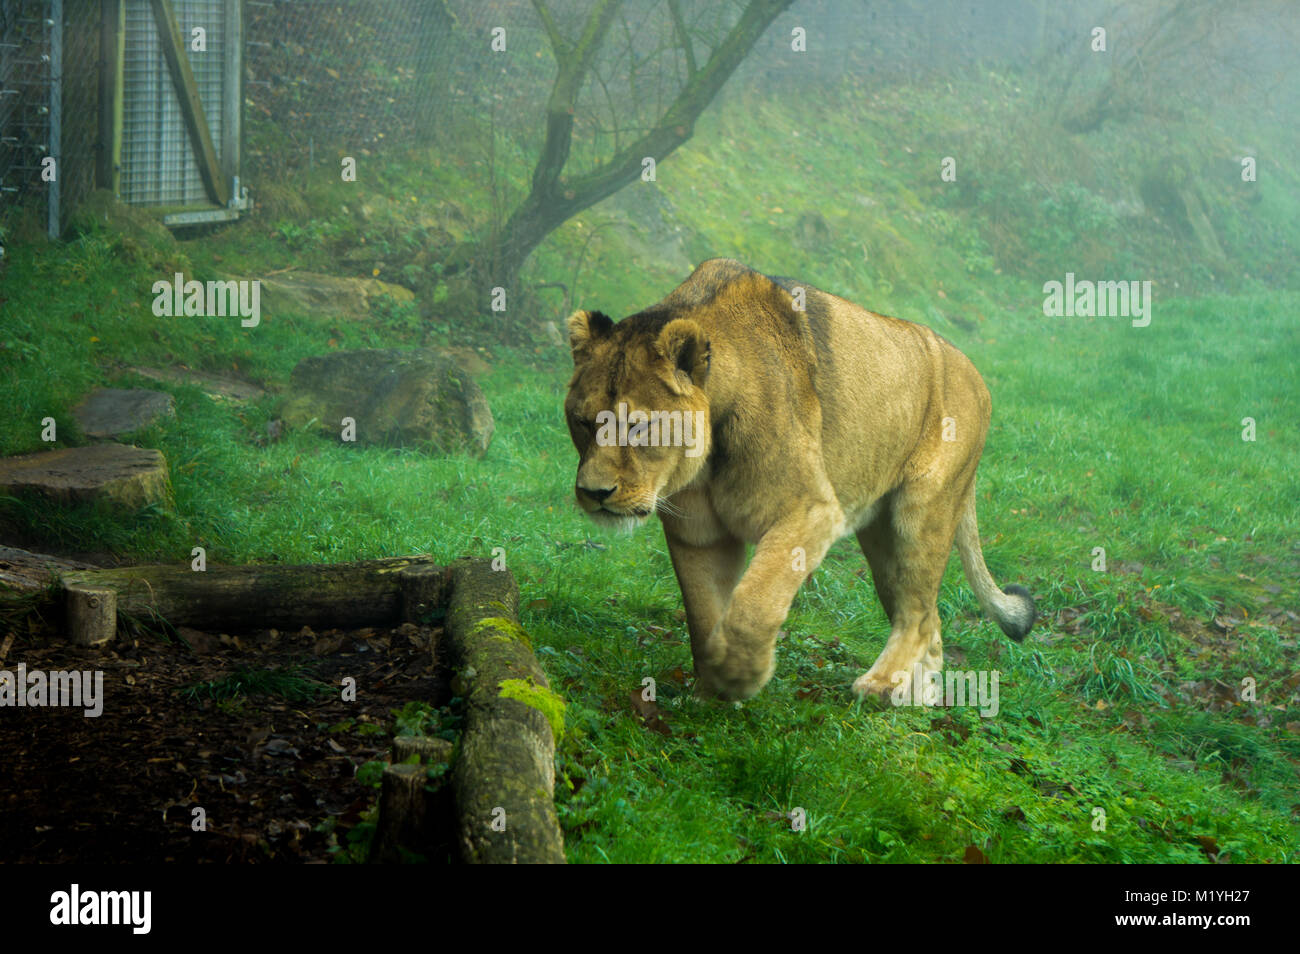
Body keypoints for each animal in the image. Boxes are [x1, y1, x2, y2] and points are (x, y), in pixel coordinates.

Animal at [563, 258, 1035, 702]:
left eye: (638, 427)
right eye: (583, 423)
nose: (594, 493)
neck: (708, 452)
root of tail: (976, 374)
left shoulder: (810, 510)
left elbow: (753, 604)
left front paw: (738, 674)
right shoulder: (696, 534)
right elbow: (702, 612)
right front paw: (708, 687)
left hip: (921, 514)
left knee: (919, 615)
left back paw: (881, 686)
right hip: (881, 537)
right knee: (928, 618)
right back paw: (915, 695)